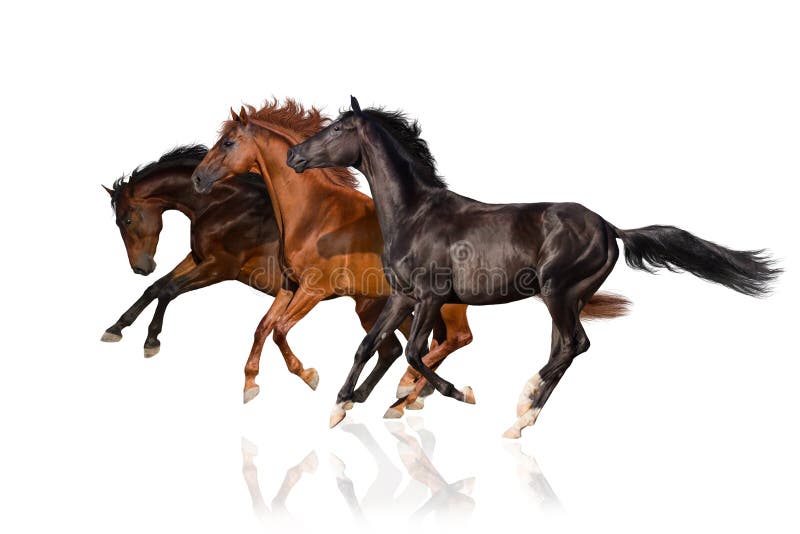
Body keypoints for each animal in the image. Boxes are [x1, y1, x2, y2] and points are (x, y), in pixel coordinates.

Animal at [102, 145, 418, 405]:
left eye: (126, 220)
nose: (141, 267)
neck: (222, 205)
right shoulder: (198, 258)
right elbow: (156, 288)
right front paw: (117, 327)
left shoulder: (220, 267)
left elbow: (169, 291)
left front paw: (151, 340)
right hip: (377, 307)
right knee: (394, 350)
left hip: (371, 306)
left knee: (396, 348)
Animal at [286, 96, 780, 438]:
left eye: (337, 129)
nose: (294, 157)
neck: (414, 214)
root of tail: (610, 228)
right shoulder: (403, 295)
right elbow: (368, 344)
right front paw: (340, 406)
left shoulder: (430, 295)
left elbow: (412, 352)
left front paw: (445, 393)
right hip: (567, 297)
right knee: (563, 348)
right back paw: (520, 419)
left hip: (558, 291)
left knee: (575, 344)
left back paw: (523, 402)